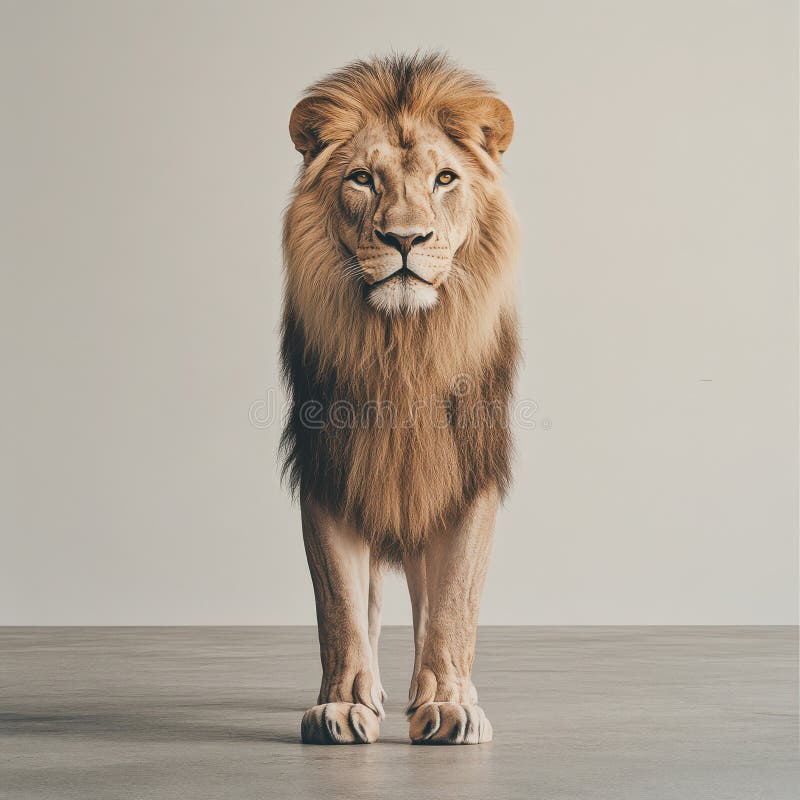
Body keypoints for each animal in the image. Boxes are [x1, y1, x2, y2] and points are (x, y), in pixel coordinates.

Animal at [281, 53, 519, 745]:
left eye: (445, 178)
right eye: (362, 179)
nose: (405, 239)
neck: (402, 349)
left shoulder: (469, 473)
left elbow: (453, 602)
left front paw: (451, 703)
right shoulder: (329, 467)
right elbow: (338, 603)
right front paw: (341, 706)